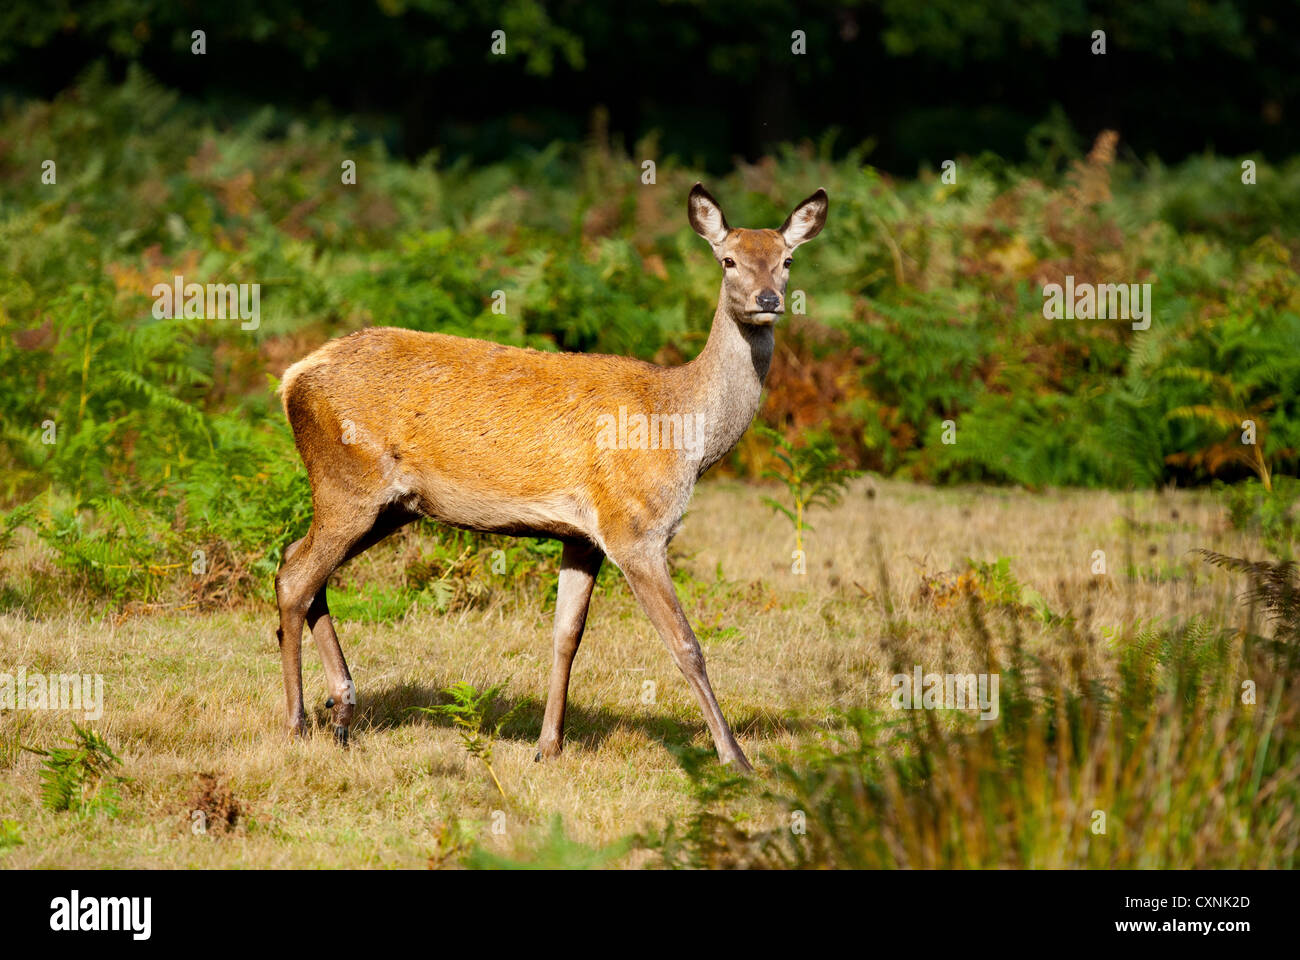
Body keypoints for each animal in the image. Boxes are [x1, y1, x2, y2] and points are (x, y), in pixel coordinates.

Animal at [274, 182, 828, 771]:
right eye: (728, 260)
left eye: (787, 260)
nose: (767, 299)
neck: (682, 430)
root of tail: (291, 380)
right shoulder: (635, 528)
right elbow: (685, 644)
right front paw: (735, 757)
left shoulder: (582, 536)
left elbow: (567, 636)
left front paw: (548, 746)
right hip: (348, 483)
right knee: (295, 577)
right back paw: (298, 723)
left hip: (389, 506)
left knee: (298, 563)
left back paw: (342, 711)